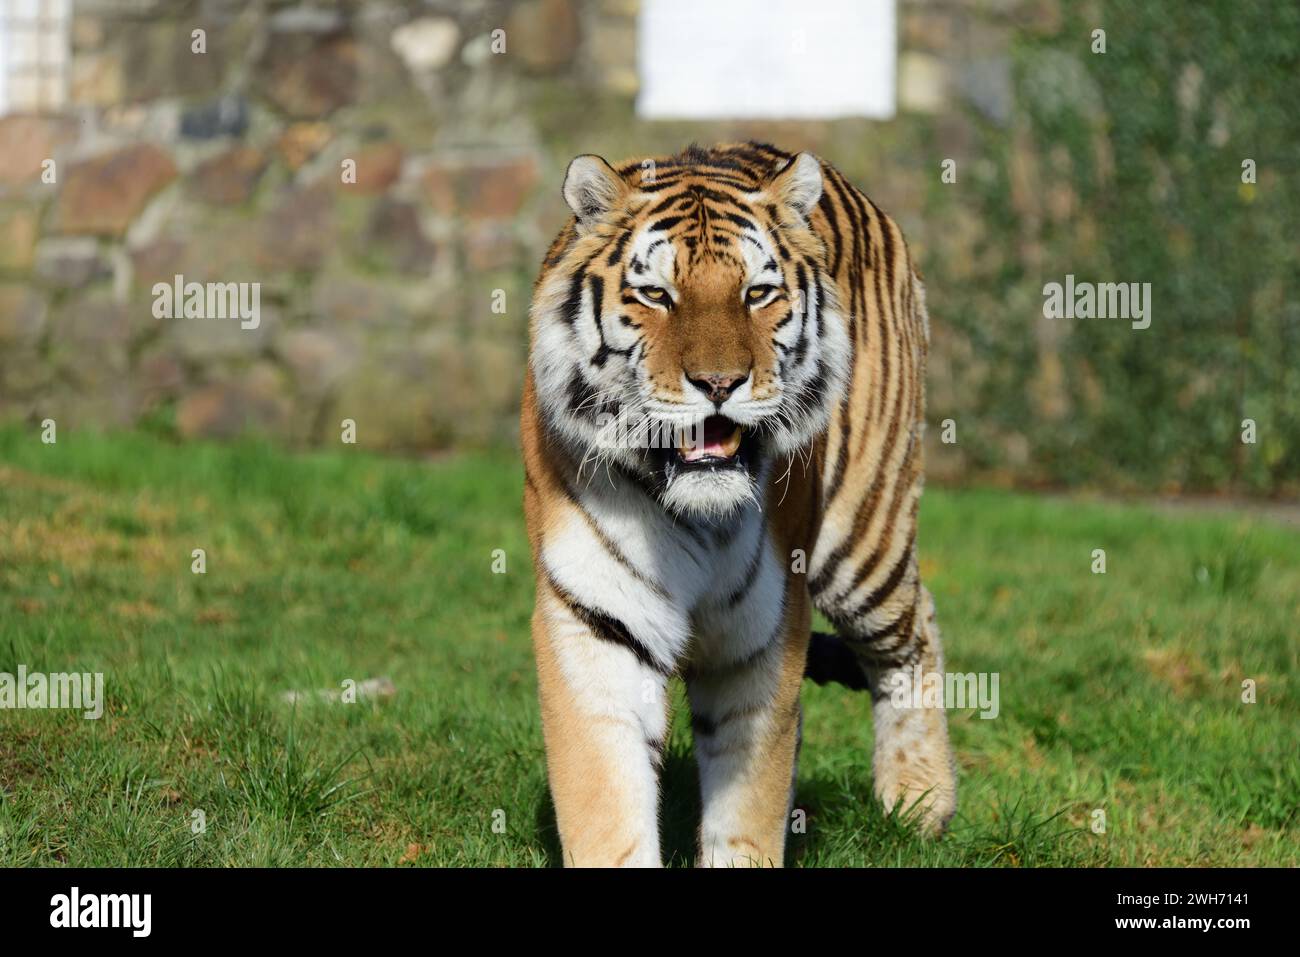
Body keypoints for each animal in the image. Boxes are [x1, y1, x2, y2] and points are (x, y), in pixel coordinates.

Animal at [521, 142, 956, 867]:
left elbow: (747, 804)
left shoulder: (765, 633)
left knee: (914, 626)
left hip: (862, 544)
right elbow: (608, 805)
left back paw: (920, 801)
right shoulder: (596, 619)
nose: (720, 383)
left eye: (757, 293)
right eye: (655, 295)